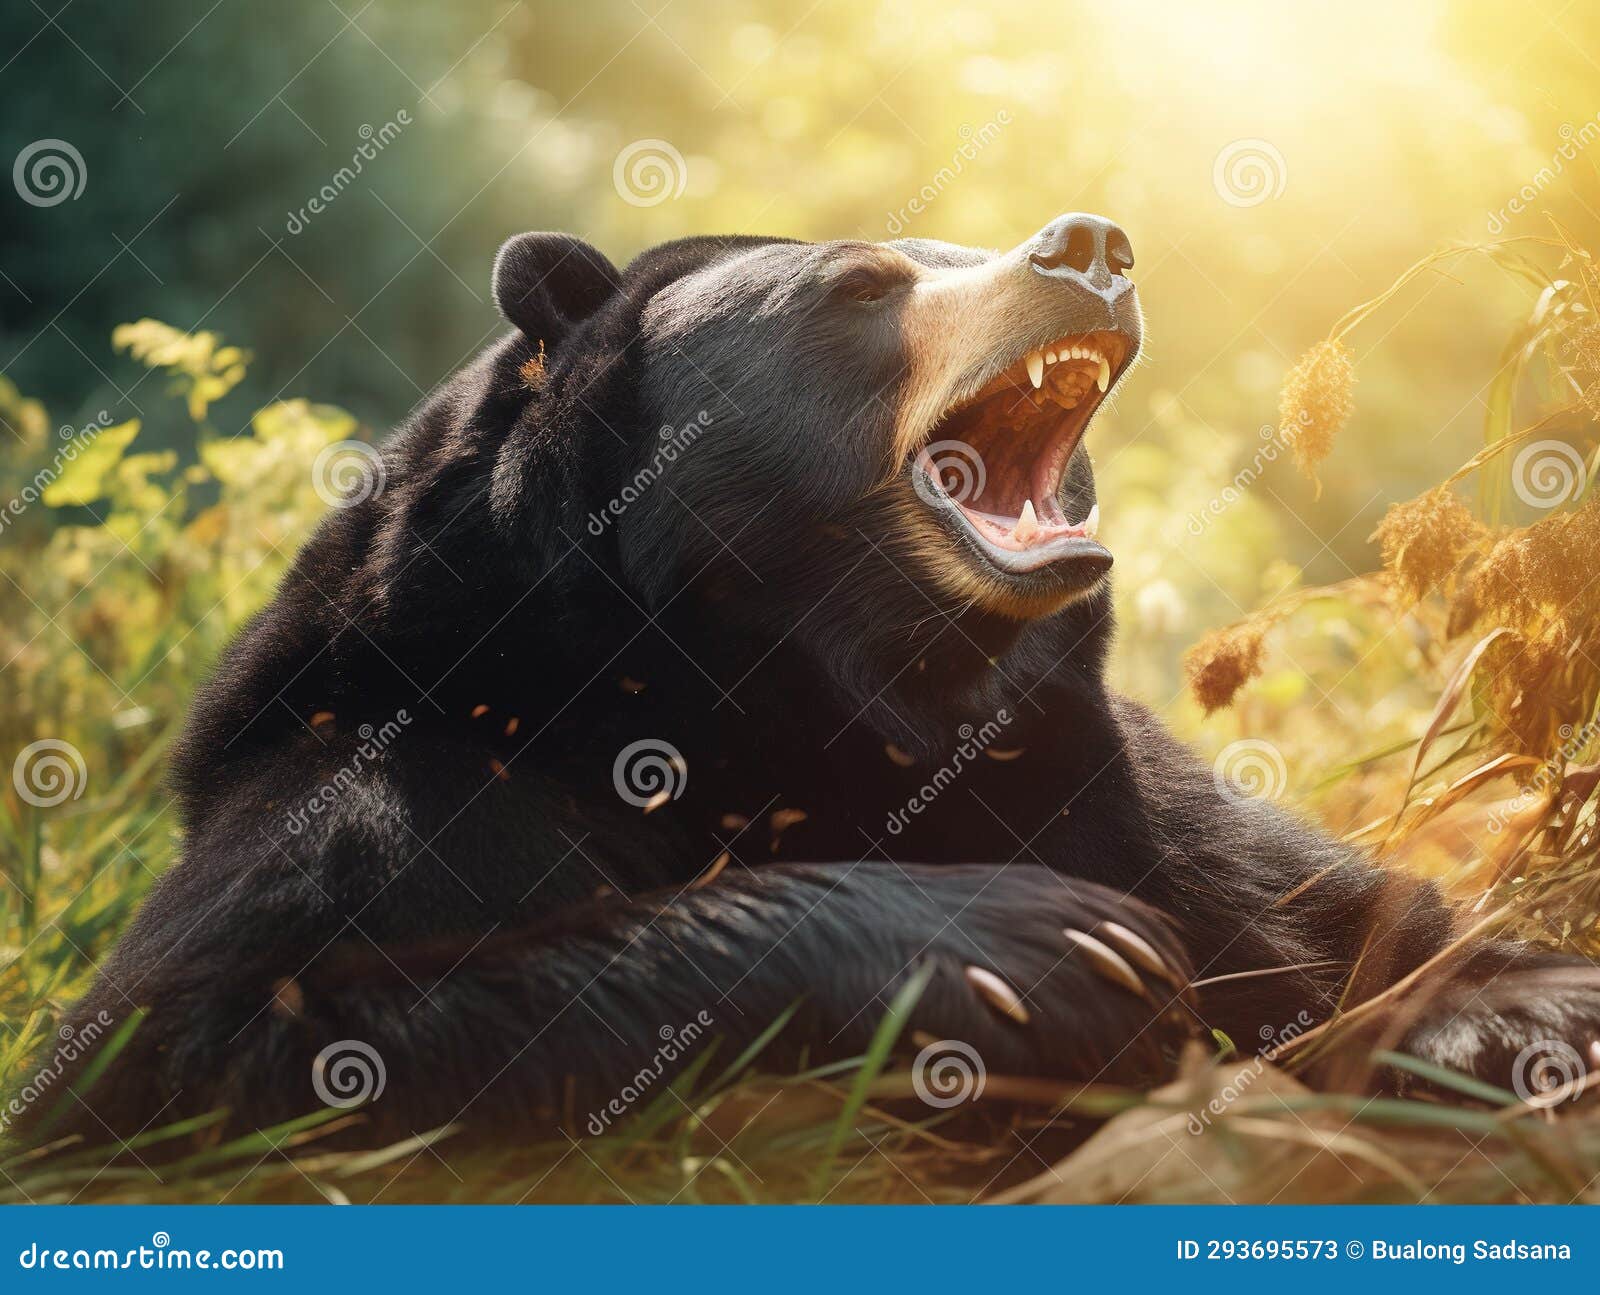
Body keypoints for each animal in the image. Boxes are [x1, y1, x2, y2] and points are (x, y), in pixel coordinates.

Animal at [15, 213, 1600, 1156]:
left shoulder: (1106, 772)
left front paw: (1520, 1016)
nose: (1092, 243)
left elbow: (1357, 922)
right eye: (862, 286)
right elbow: (204, 1040)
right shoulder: (410, 749)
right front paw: (1042, 953)